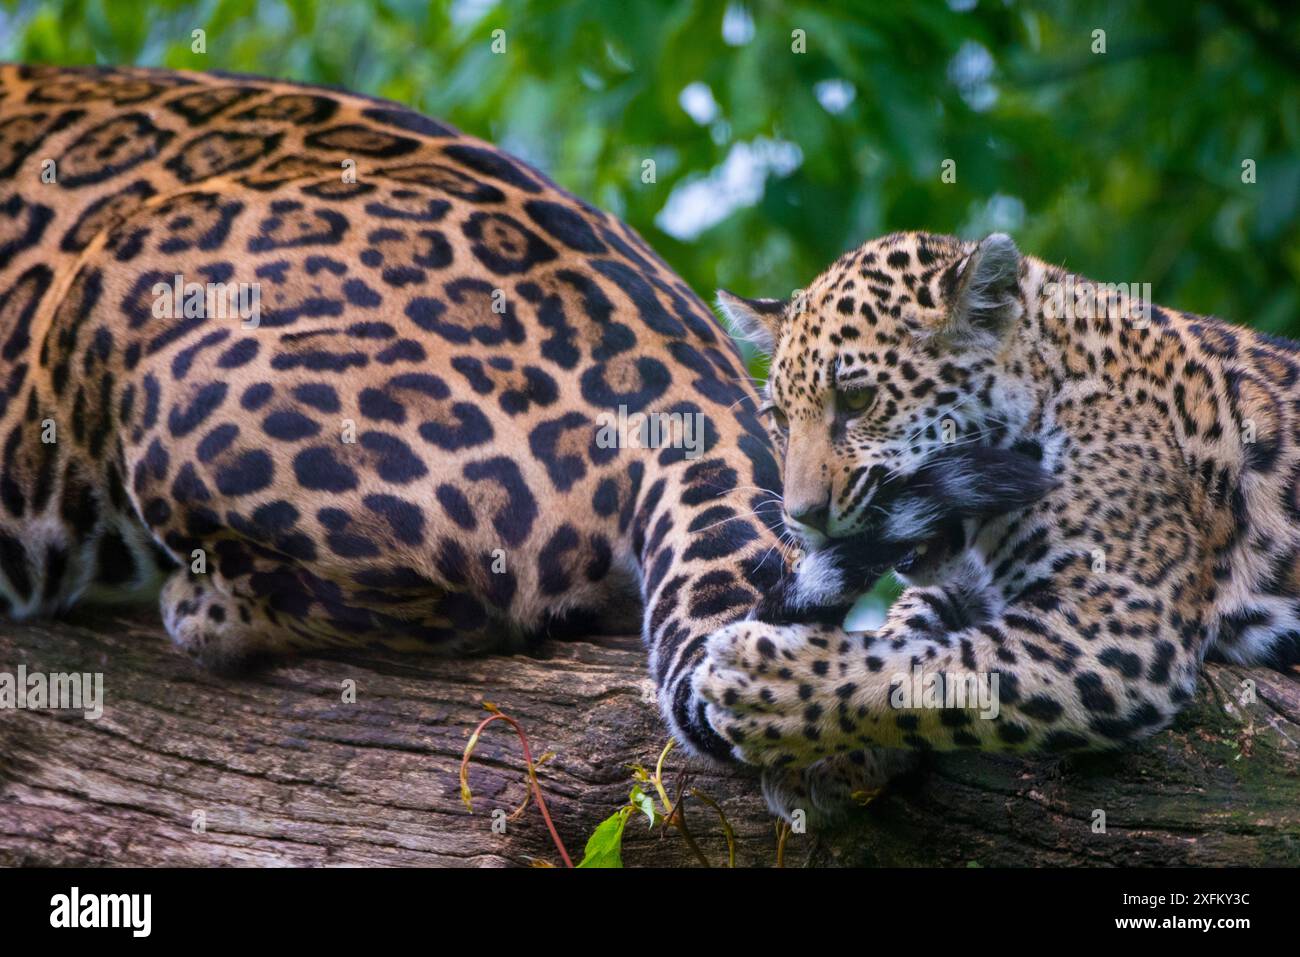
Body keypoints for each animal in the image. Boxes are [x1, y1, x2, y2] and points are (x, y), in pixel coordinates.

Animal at [705, 227, 1300, 818]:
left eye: (858, 399)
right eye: (780, 419)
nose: (803, 517)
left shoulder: (1115, 624)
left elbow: (934, 674)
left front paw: (771, 685)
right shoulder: (961, 581)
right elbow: (907, 632)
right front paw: (833, 757)